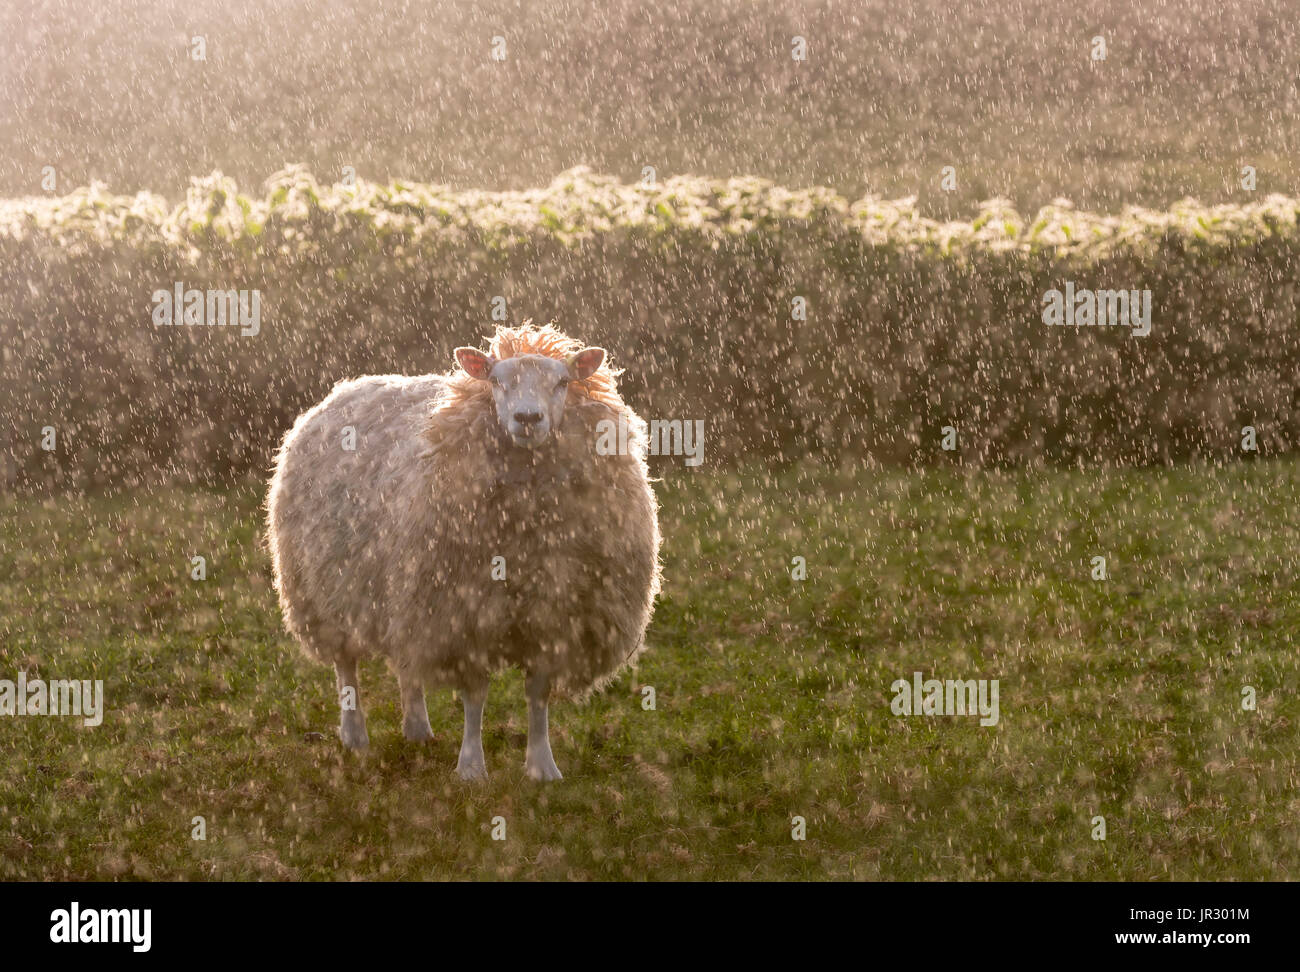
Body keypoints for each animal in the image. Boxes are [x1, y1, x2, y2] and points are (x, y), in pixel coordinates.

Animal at [265, 323, 661, 780]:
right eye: (496, 381)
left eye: (562, 382)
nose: (528, 419)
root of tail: (348, 386)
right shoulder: (463, 613)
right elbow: (475, 696)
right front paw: (471, 767)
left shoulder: (553, 616)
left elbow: (538, 693)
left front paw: (542, 766)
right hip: (326, 590)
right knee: (345, 666)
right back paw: (354, 735)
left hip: (406, 591)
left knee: (408, 663)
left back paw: (417, 728)